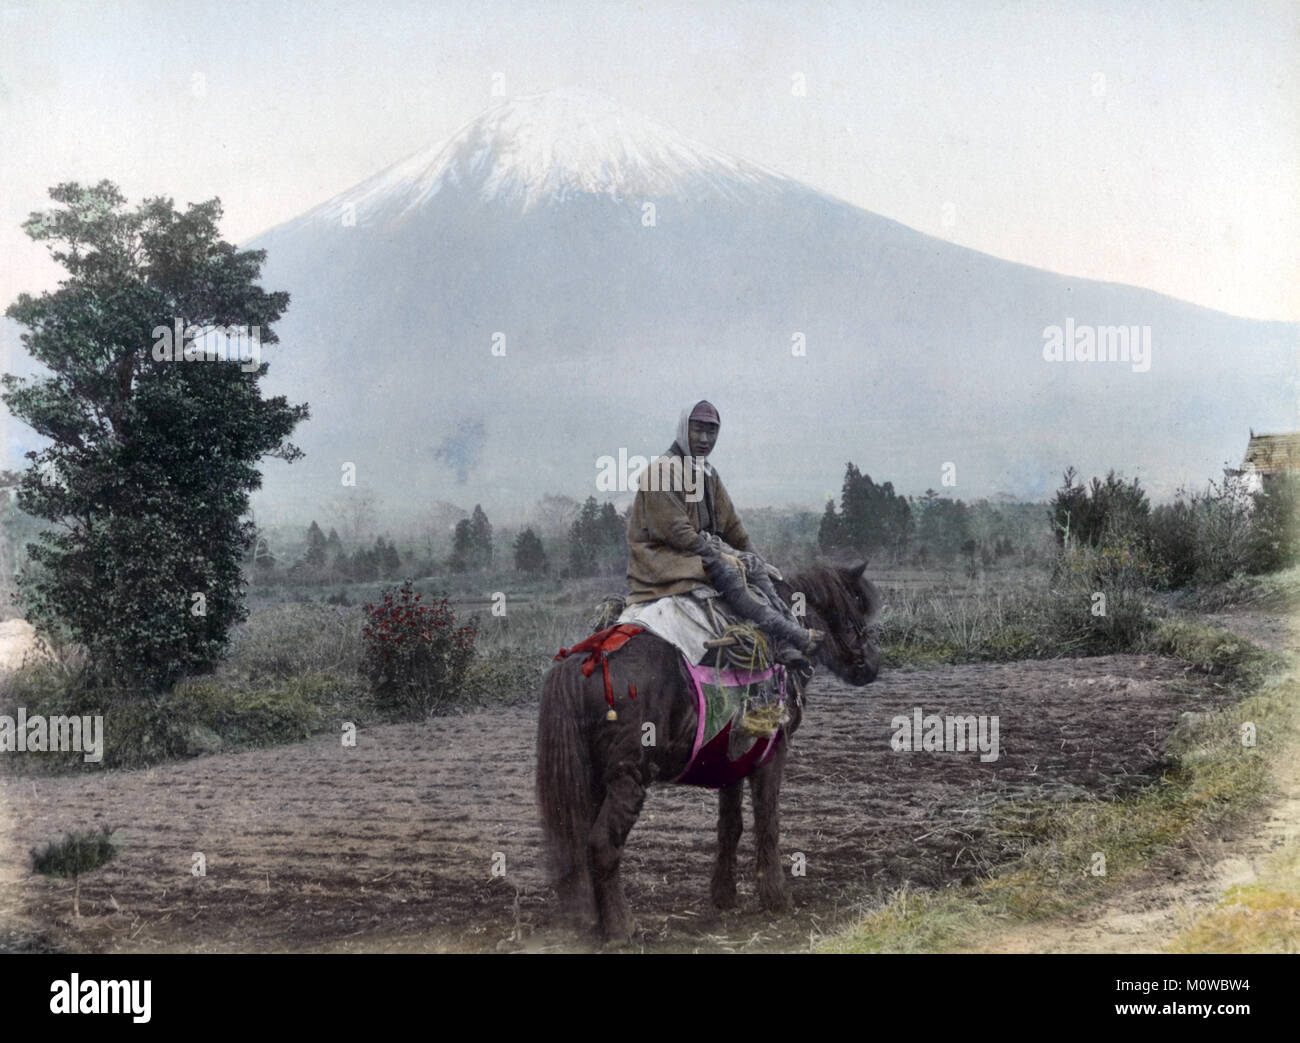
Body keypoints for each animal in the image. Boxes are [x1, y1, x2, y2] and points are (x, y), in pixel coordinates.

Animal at [536, 561, 882, 943]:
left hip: (593, 779)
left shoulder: (731, 759)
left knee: (582, 842)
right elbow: (768, 822)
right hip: (628, 777)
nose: (872, 665)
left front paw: (724, 895)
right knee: (602, 844)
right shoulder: (772, 753)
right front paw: (776, 897)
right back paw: (620, 927)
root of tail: (584, 662)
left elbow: (730, 826)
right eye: (855, 609)